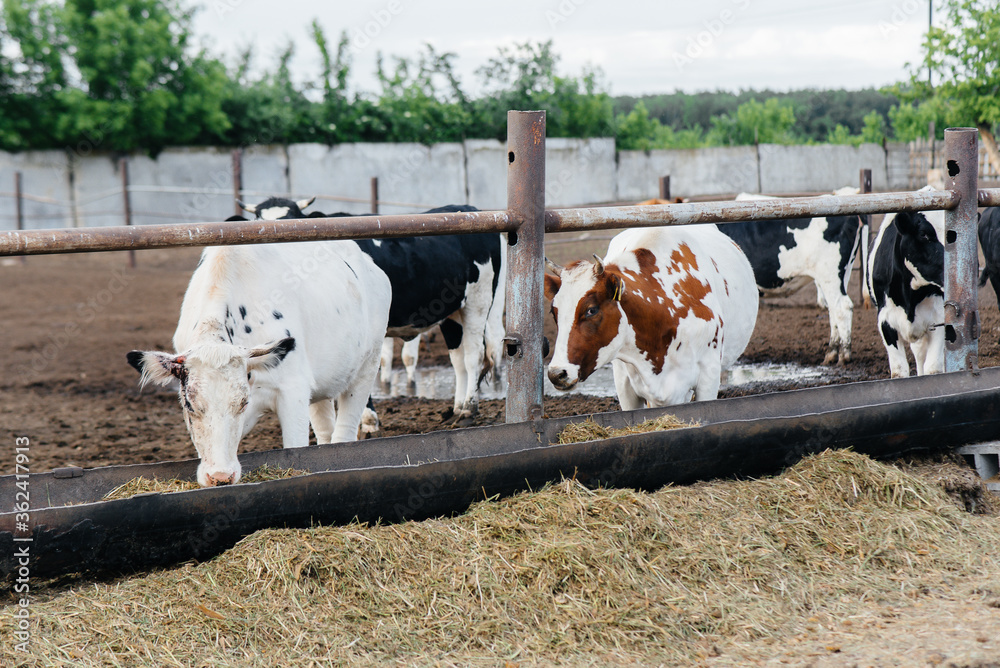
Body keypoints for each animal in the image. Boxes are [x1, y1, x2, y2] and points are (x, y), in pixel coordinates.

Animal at [127, 234, 392, 487]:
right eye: (189, 405)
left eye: (243, 402)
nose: (220, 476)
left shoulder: (293, 390)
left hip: (367, 367)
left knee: (345, 431)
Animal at [234, 197, 506, 425]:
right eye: (257, 225)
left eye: (293, 223)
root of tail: (467, 208)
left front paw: (367, 418)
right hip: (452, 313)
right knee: (458, 359)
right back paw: (457, 408)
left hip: (478, 302)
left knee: (474, 355)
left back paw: (469, 408)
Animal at [717, 190, 866, 365]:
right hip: (842, 274)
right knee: (833, 309)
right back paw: (831, 353)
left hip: (830, 273)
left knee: (842, 307)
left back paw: (843, 355)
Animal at [866, 188, 945, 378]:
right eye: (923, 234)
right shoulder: (885, 321)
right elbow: (899, 371)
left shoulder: (939, 318)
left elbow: (933, 367)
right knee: (919, 353)